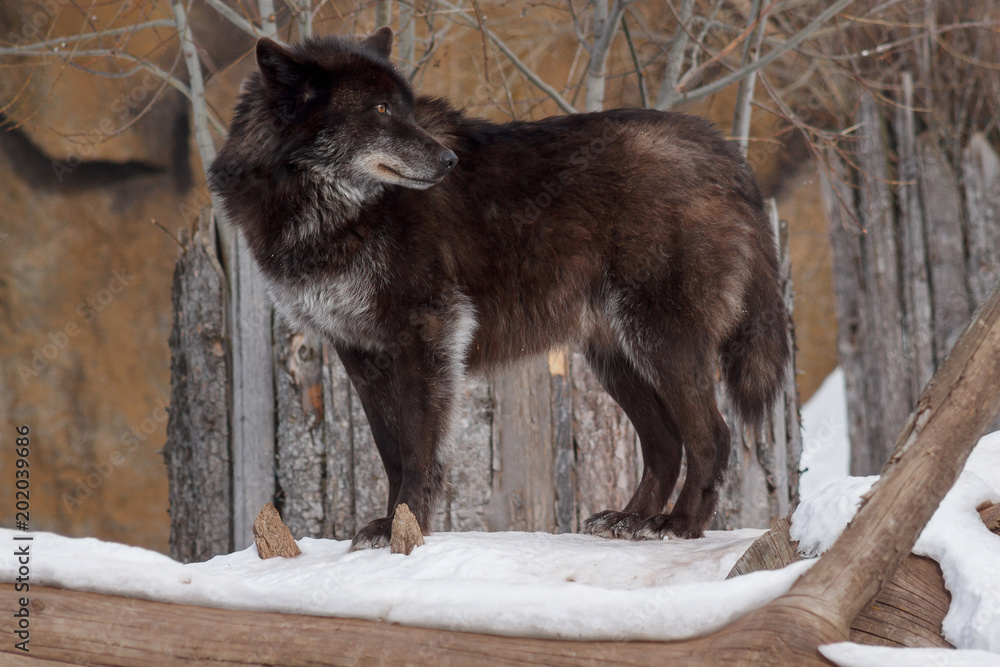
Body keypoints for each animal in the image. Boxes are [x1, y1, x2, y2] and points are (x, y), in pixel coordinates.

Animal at [209, 27, 790, 551]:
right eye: (380, 110)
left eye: (405, 109)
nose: (449, 162)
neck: (334, 210)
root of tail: (723, 150)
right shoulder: (358, 351)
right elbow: (390, 448)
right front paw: (392, 524)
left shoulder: (427, 333)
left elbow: (419, 447)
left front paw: (407, 526)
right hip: (615, 355)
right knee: (666, 442)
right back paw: (632, 520)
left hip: (661, 340)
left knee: (712, 434)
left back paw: (679, 525)